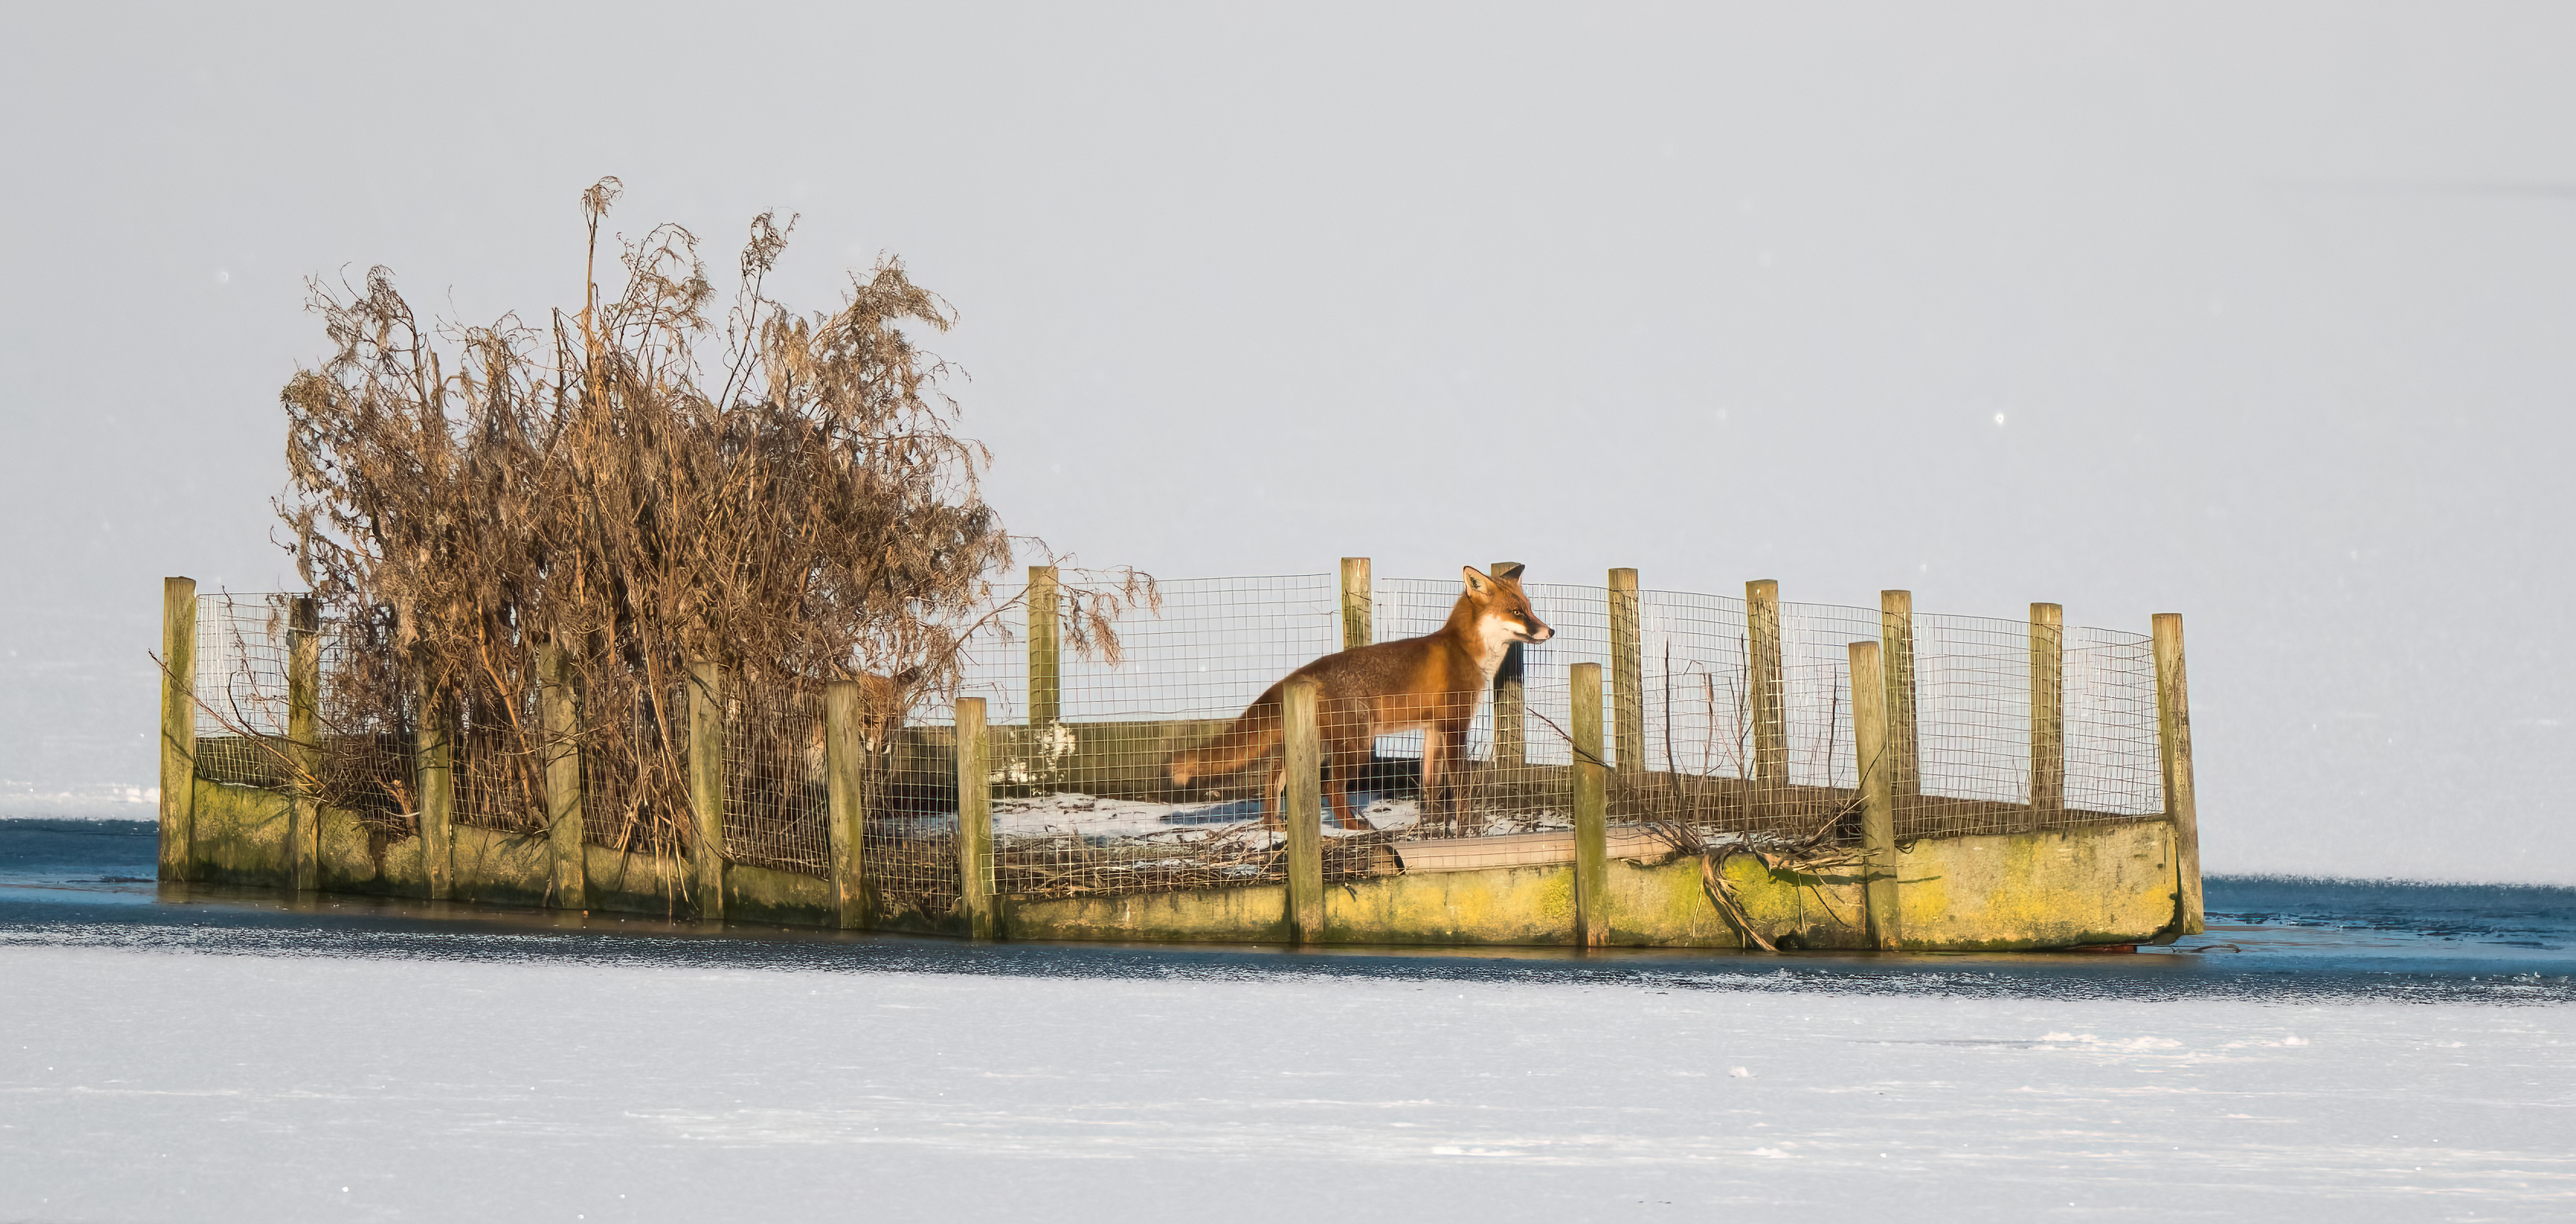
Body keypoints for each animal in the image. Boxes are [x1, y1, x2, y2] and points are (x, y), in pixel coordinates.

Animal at [1168, 565, 1553, 833]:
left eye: (1530, 608)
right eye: (1517, 613)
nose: (1550, 630)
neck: (1464, 650)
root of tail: (1298, 674)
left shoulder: (1433, 729)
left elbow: (1430, 785)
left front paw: (1432, 823)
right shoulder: (1455, 726)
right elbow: (1459, 786)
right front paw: (1464, 825)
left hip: (1308, 747)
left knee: (1273, 782)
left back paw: (1273, 828)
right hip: (1358, 744)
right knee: (1328, 787)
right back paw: (1352, 828)